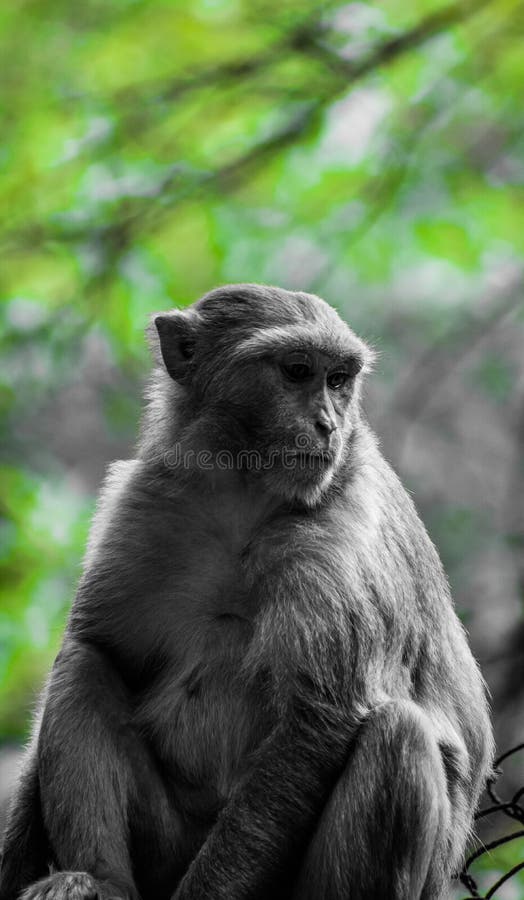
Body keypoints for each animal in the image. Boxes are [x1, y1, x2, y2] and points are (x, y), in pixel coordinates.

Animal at [0, 283, 493, 900]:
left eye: (338, 379)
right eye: (297, 371)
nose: (329, 424)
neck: (244, 491)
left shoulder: (336, 539)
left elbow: (317, 716)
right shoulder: (145, 499)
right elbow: (102, 647)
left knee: (397, 734)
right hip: (167, 845)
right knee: (85, 665)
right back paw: (96, 881)